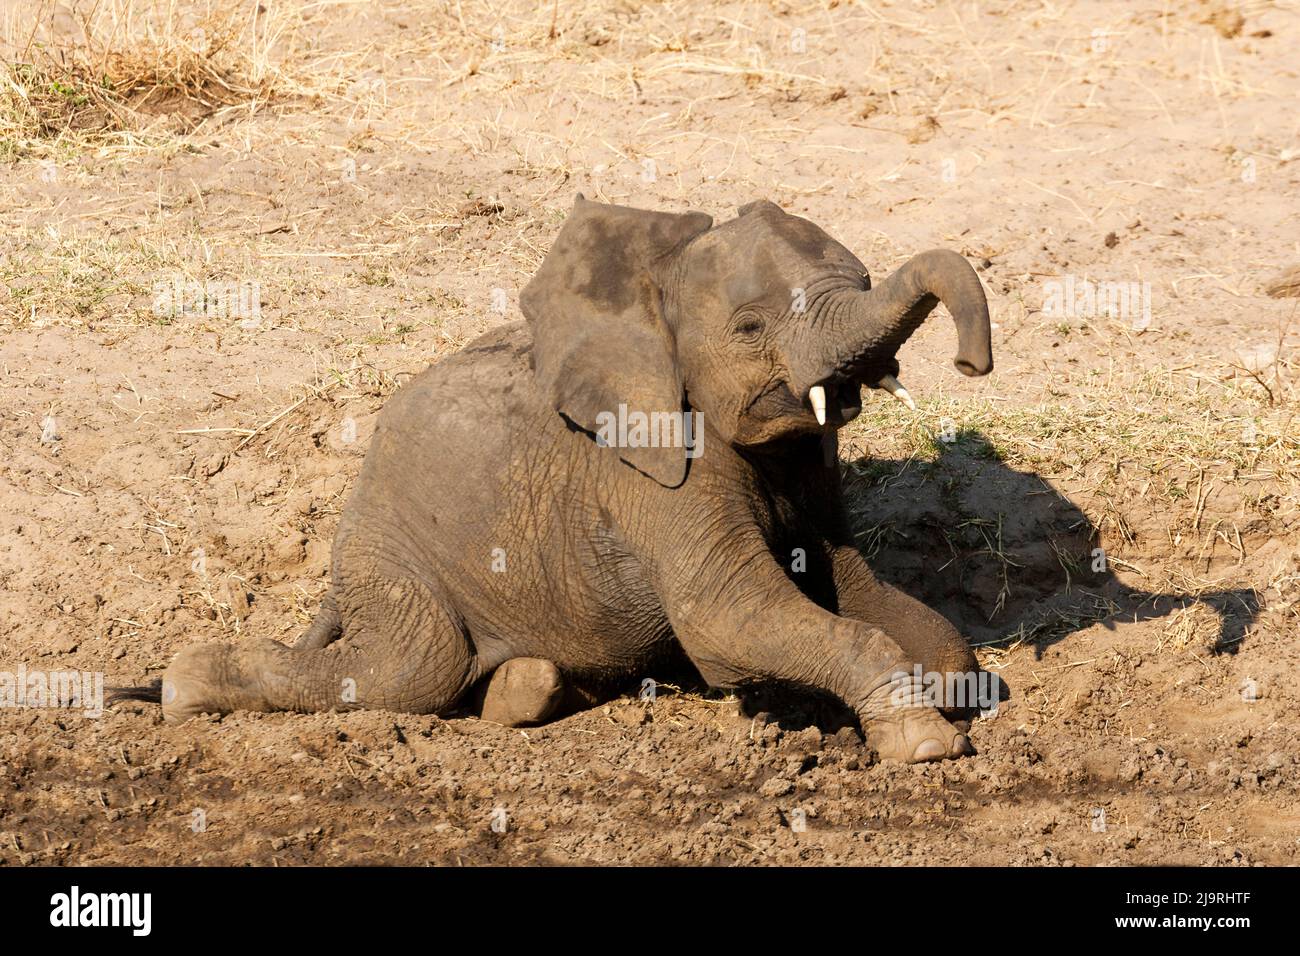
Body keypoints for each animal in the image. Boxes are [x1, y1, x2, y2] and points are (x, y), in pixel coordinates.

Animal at [112, 196, 996, 763]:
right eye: (749, 328)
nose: (970, 363)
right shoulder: (654, 471)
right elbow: (727, 619)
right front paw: (925, 748)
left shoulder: (809, 463)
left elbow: (896, 613)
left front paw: (936, 702)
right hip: (389, 553)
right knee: (412, 667)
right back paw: (186, 686)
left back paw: (523, 690)